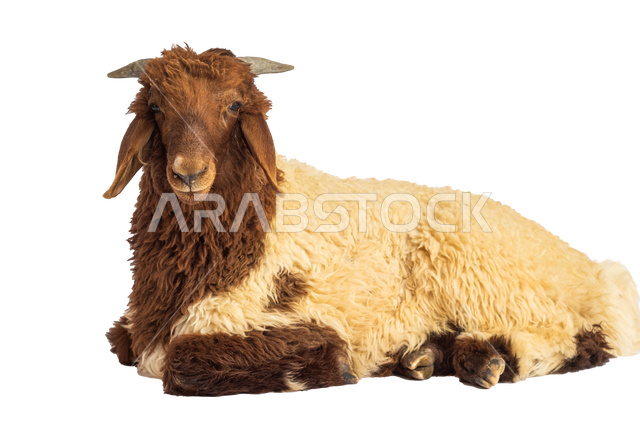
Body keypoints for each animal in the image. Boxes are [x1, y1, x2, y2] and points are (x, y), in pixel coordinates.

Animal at [103, 42, 640, 397]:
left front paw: (327, 362)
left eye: (233, 105)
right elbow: (122, 343)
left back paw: (502, 358)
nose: (188, 173)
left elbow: (179, 361)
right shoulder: (137, 324)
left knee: (583, 333)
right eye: (156, 106)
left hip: (485, 273)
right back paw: (433, 357)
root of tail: (589, 268)